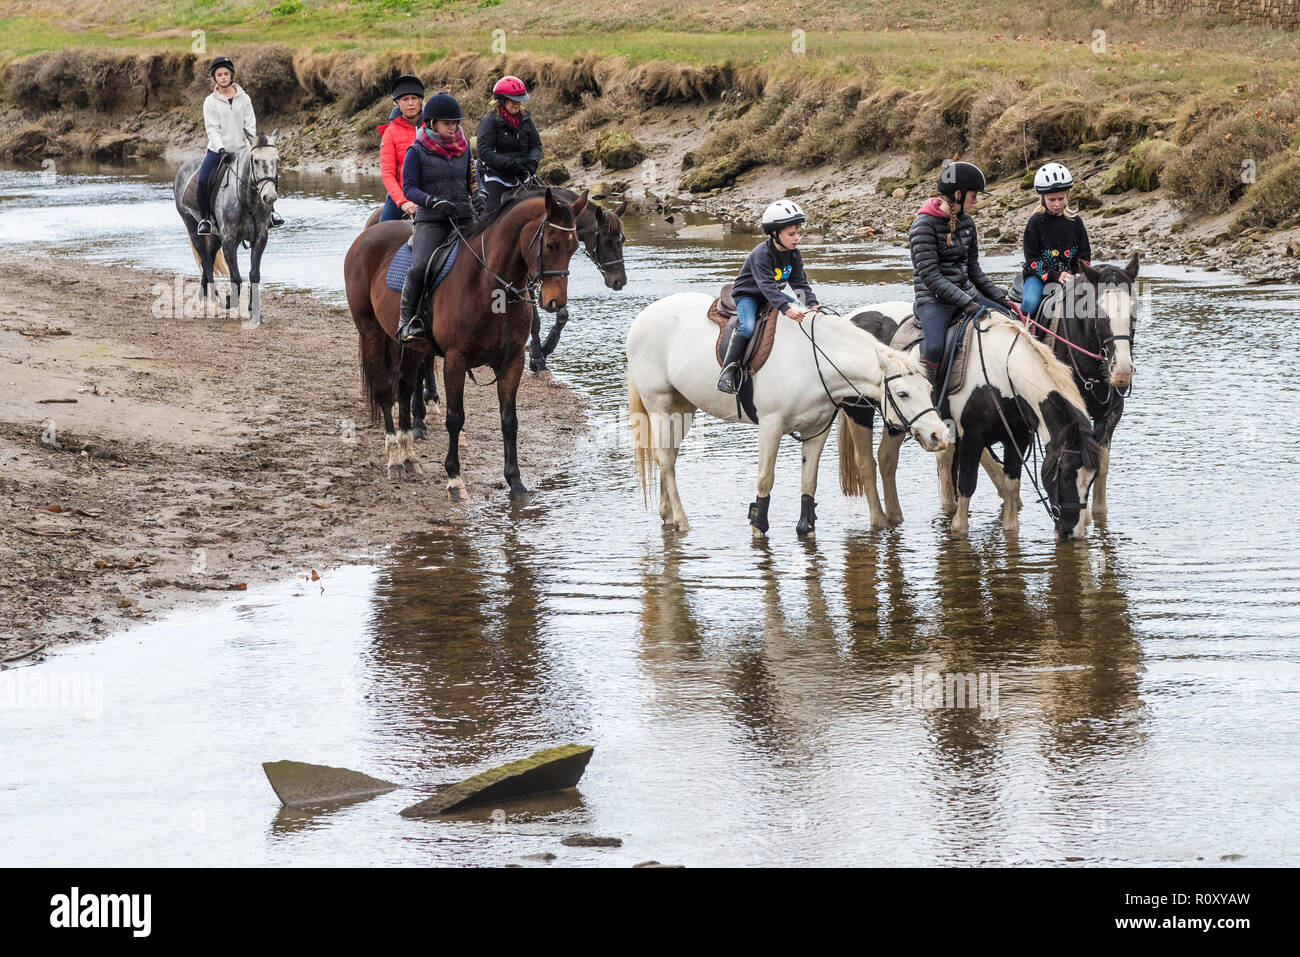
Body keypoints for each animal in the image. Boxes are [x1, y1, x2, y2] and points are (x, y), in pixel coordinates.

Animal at [345, 188, 590, 501]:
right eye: (549, 244)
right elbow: (455, 418)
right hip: (371, 332)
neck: (489, 286)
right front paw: (454, 479)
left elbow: (509, 420)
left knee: (405, 386)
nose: (555, 302)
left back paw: (409, 455)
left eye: (574, 247)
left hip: (412, 347)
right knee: (385, 391)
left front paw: (515, 482)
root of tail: (368, 235)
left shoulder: (512, 362)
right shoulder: (455, 360)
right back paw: (395, 458)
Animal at [624, 291, 951, 538]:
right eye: (903, 394)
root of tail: (642, 318)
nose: (940, 435)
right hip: (660, 406)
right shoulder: (770, 426)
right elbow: (765, 479)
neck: (814, 360)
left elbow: (809, 482)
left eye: (928, 387)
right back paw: (681, 520)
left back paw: (667, 513)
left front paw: (806, 528)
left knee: (667, 457)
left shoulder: (816, 431)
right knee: (666, 460)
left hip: (682, 409)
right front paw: (758, 525)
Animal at [837, 302, 1102, 540]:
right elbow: (967, 486)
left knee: (888, 458)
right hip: (860, 412)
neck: (1002, 376)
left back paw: (895, 516)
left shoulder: (1016, 439)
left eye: (1092, 478)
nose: (1072, 532)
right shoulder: (973, 438)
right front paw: (958, 527)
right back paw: (880, 519)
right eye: (1066, 475)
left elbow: (1011, 488)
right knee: (869, 462)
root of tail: (852, 317)